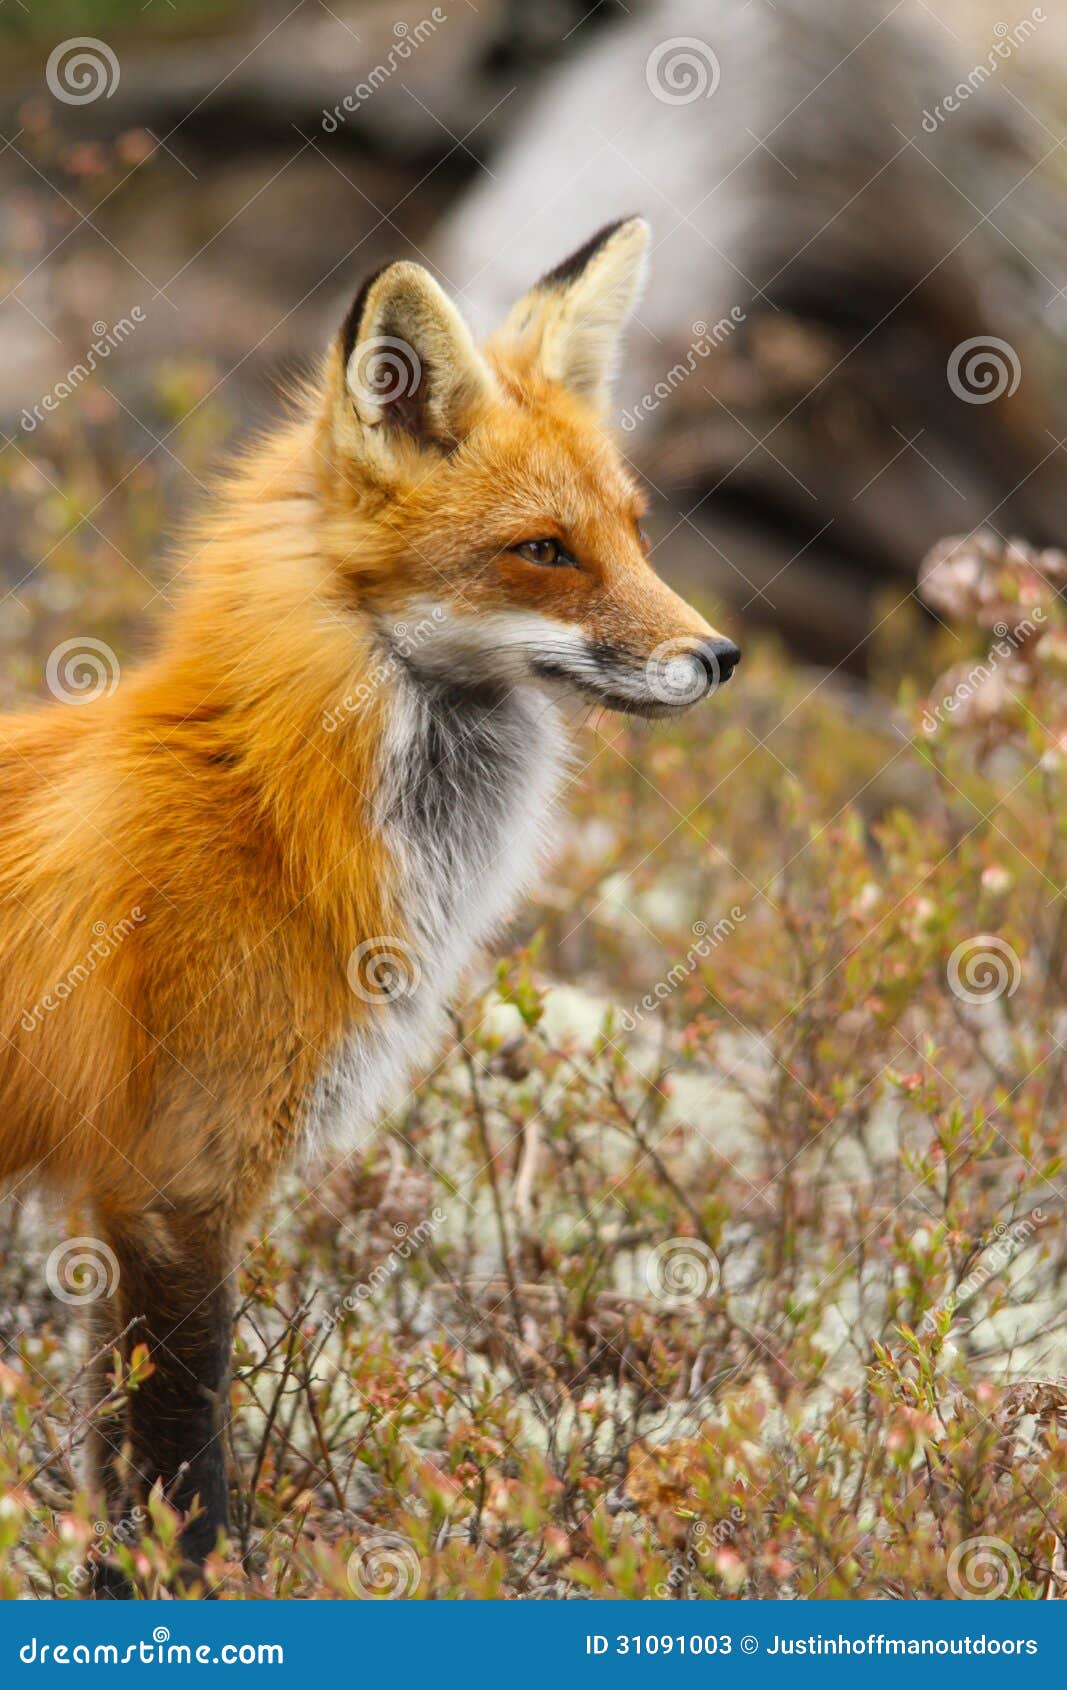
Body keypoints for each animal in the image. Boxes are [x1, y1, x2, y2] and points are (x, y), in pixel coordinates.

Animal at [0, 217, 739, 1583]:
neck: (265, 806)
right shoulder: (177, 1181)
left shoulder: (121, 1202)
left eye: (632, 530)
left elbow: (112, 1468)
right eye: (542, 550)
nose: (714, 656)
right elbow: (184, 1463)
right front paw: (197, 1590)